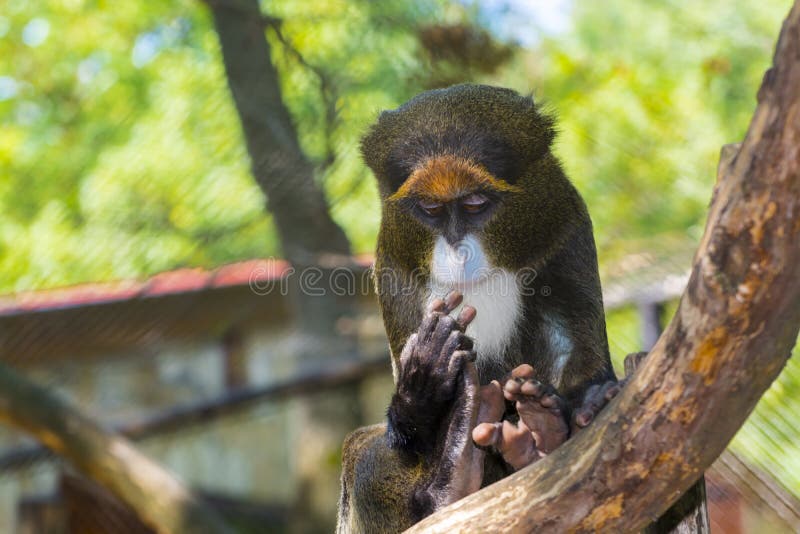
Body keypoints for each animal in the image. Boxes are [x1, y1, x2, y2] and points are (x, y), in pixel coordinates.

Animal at [337, 84, 621, 533]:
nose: (457, 251)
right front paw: (422, 383)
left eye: (474, 203)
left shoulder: (565, 229)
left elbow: (576, 346)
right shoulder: (392, 266)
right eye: (430, 209)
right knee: (362, 451)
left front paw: (591, 398)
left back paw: (539, 437)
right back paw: (450, 483)